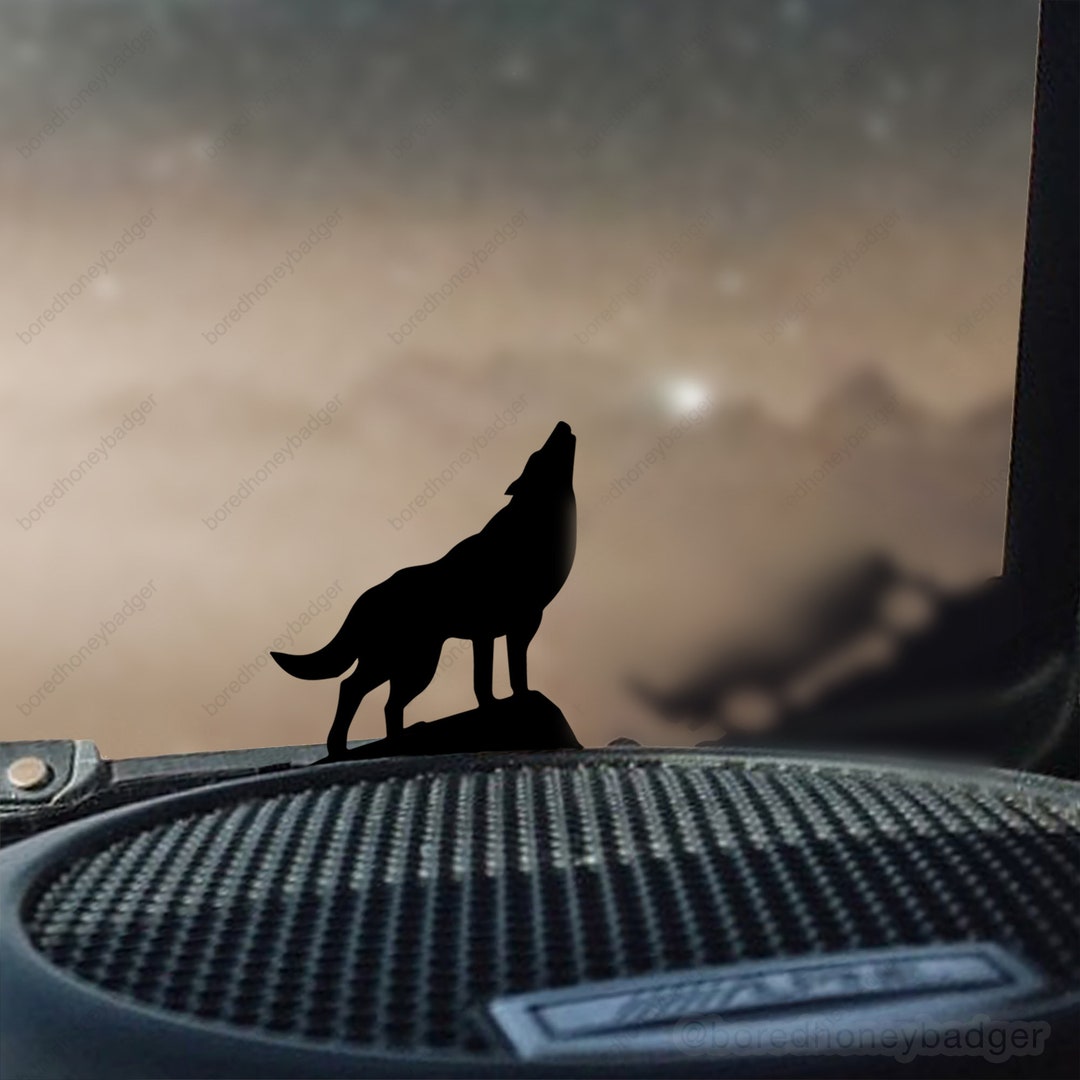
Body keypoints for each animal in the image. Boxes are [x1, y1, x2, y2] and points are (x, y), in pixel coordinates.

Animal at [271, 421, 576, 756]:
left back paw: (399, 737)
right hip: (409, 664)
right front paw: (497, 706)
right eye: (537, 456)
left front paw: (517, 698)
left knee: (386, 703)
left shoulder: (521, 625)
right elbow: (485, 681)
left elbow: (513, 674)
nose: (562, 424)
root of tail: (365, 598)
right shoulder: (489, 632)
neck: (530, 530)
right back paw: (342, 748)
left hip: (408, 666)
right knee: (351, 688)